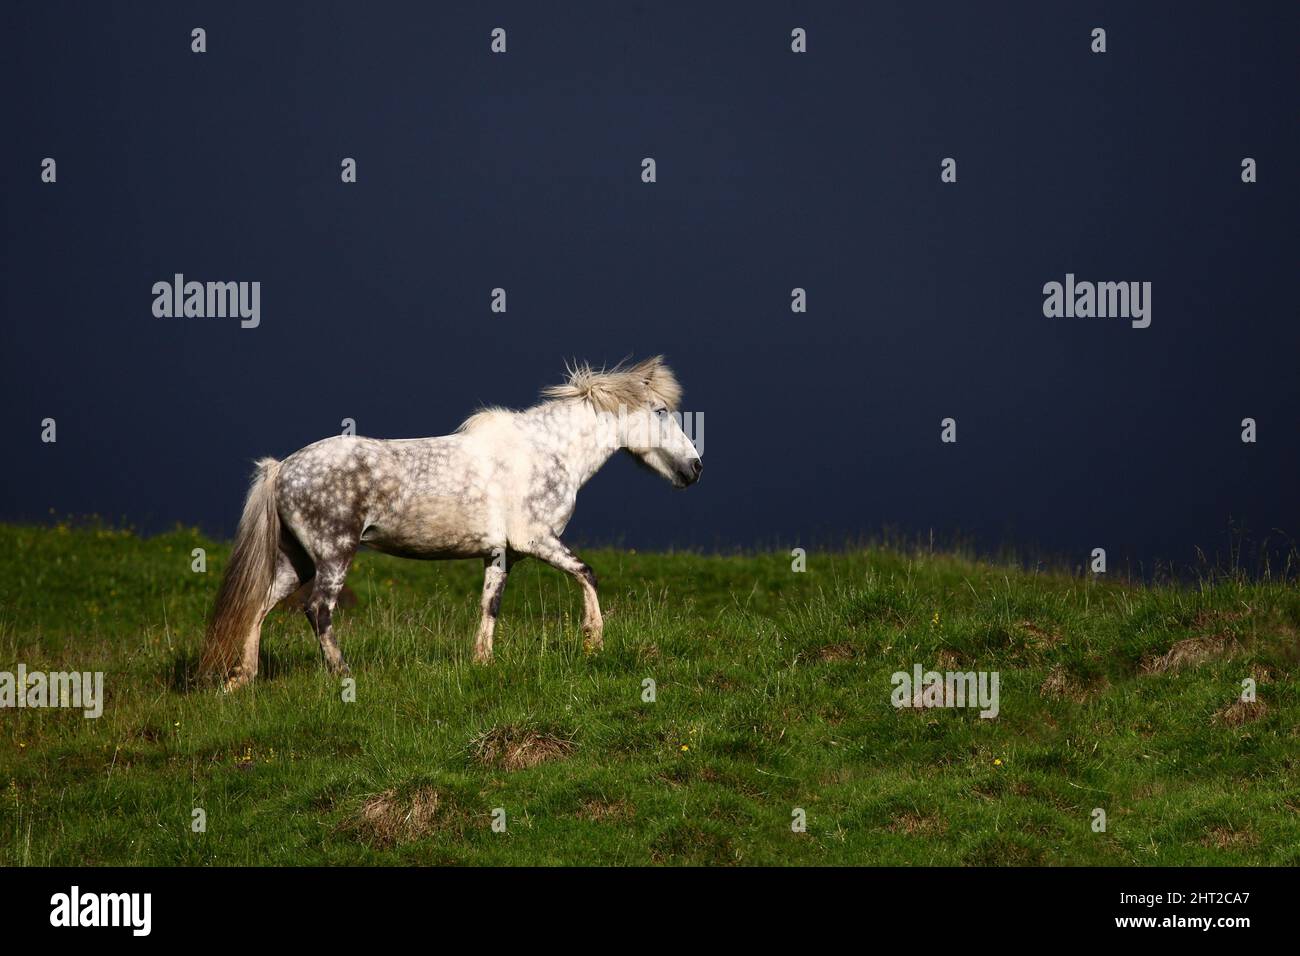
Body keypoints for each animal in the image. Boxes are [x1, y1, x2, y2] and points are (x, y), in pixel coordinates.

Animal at [199, 356, 702, 689]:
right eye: (660, 411)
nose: (695, 468)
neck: (546, 451)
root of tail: (281, 468)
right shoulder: (538, 539)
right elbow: (587, 573)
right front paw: (593, 641)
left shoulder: (503, 553)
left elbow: (490, 606)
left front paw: (483, 663)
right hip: (333, 556)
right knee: (317, 610)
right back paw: (344, 675)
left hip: (296, 561)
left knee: (259, 608)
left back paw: (241, 680)